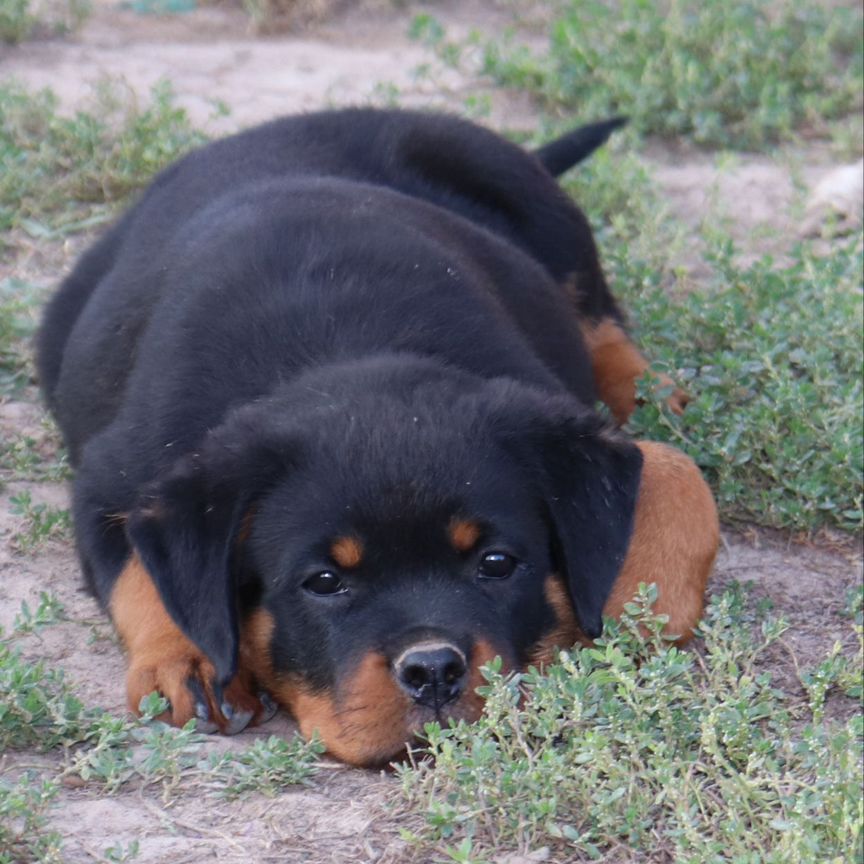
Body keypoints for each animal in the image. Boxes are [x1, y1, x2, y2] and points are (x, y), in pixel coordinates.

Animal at [38, 108, 716, 764]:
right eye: (324, 582)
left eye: (496, 564)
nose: (433, 670)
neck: (343, 346)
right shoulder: (113, 477)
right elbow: (142, 569)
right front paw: (186, 658)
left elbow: (674, 468)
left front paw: (631, 613)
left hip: (533, 203)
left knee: (601, 319)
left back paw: (661, 390)